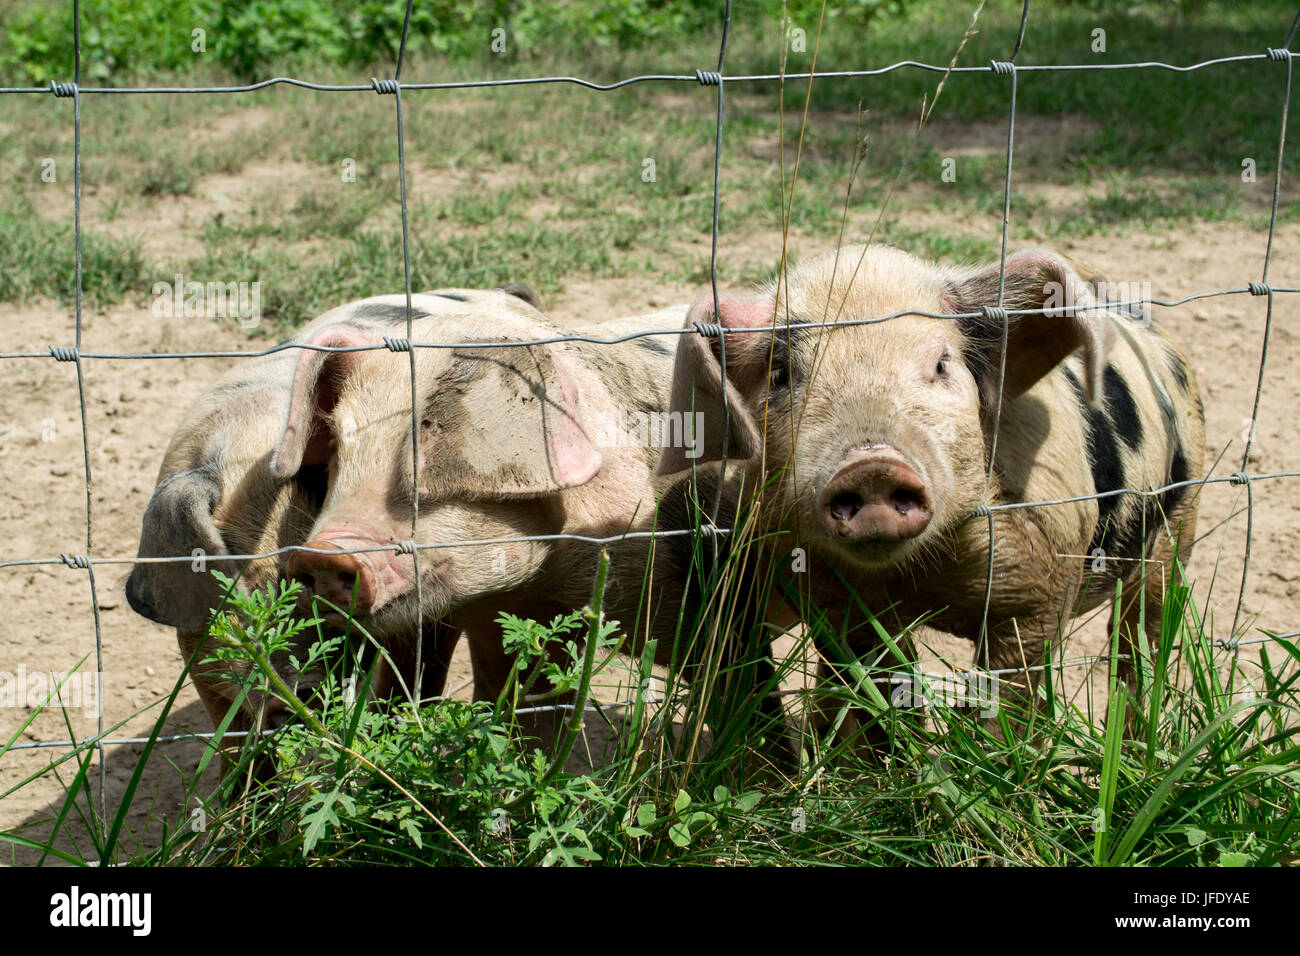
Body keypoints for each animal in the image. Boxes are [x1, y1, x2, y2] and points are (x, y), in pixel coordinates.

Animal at [656, 244, 1205, 736]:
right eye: (781, 373)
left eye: (942, 364)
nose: (871, 464)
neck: (919, 577)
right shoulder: (838, 601)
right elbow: (873, 690)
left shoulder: (1047, 565)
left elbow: (1009, 696)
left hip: (1181, 514)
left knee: (1143, 631)